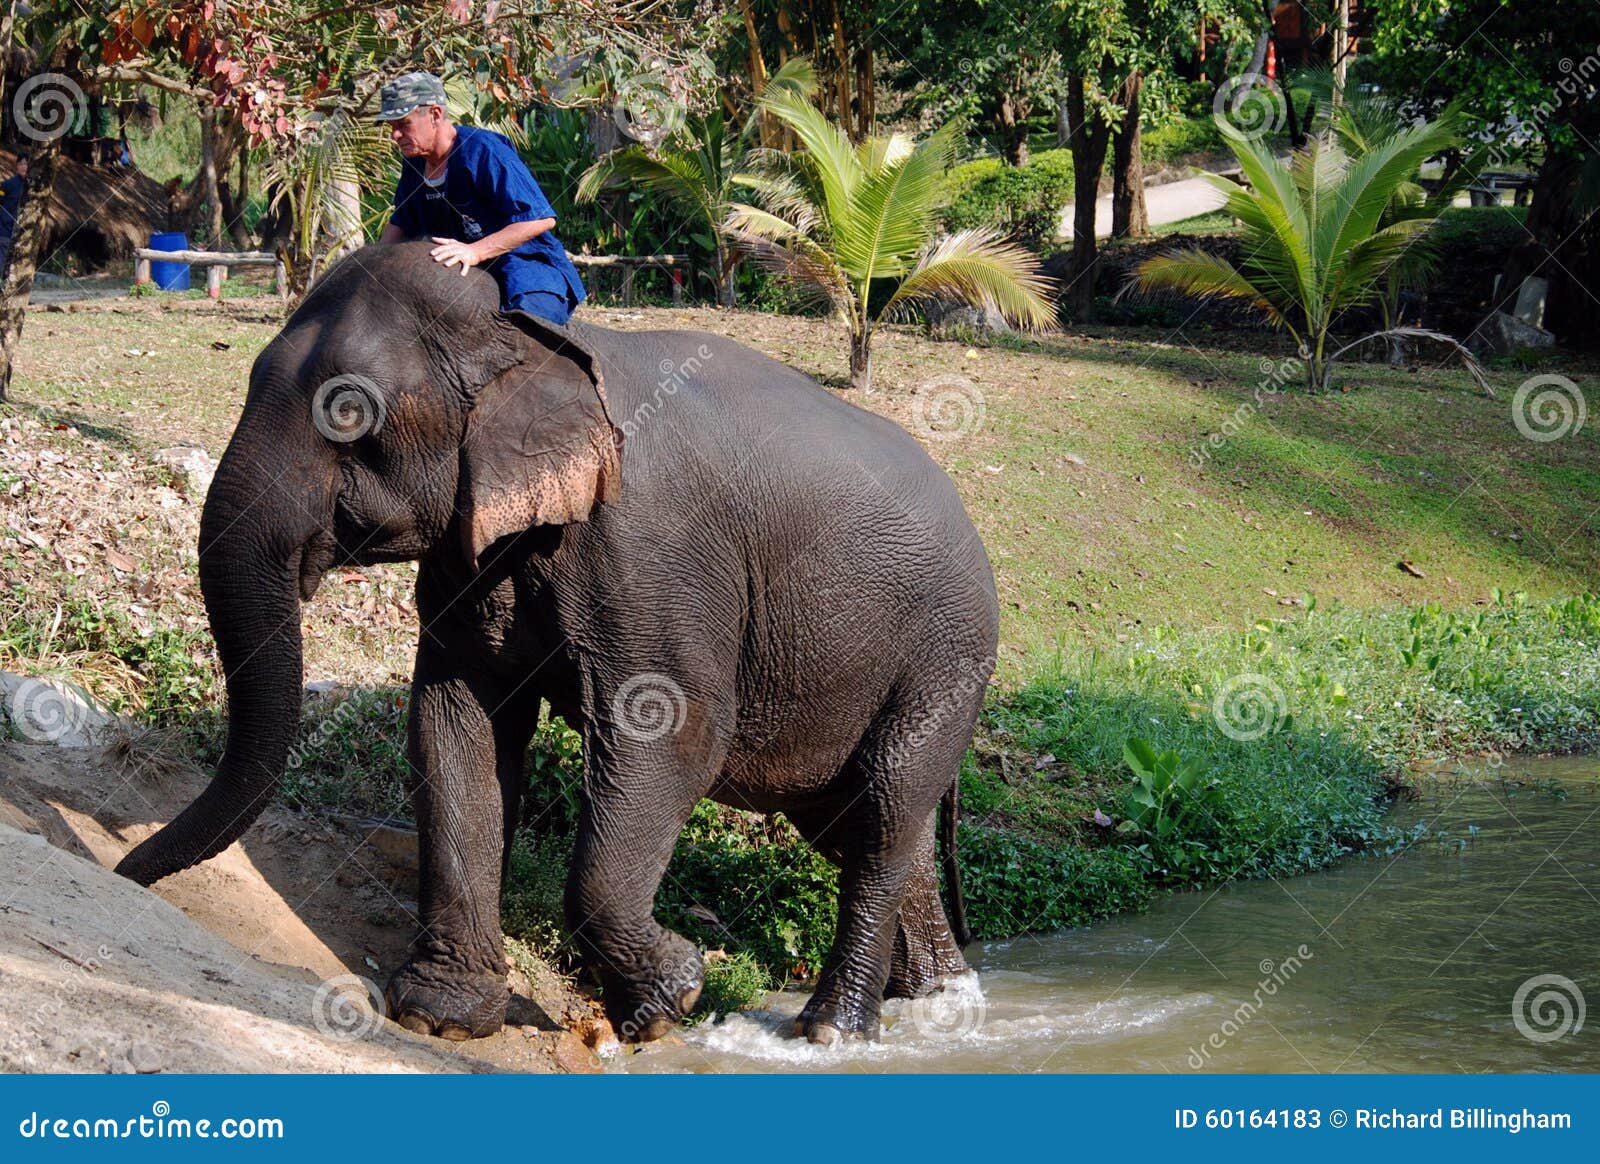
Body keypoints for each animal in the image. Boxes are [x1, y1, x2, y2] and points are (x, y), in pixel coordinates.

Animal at [115, 241, 1000, 1046]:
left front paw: (671, 997)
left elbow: (676, 736)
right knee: (860, 822)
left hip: (945, 659)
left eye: (347, 412)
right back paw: (940, 1003)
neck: (531, 338)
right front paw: (442, 1018)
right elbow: (458, 724)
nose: (123, 873)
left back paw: (833, 1032)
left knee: (883, 806)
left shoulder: (654, 555)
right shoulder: (473, 550)